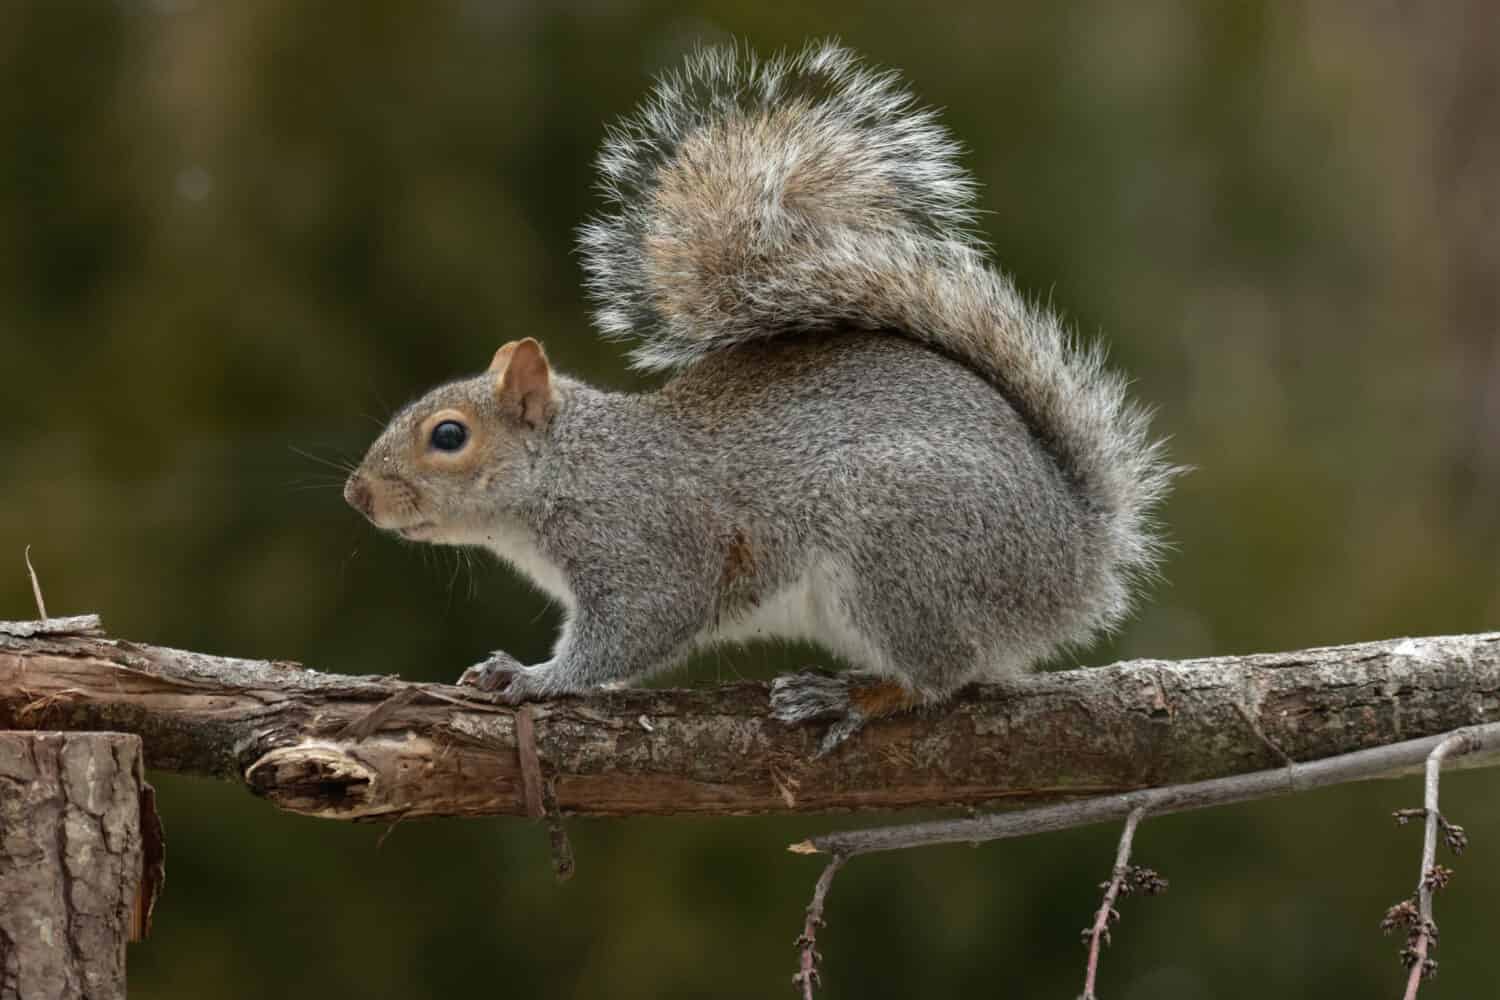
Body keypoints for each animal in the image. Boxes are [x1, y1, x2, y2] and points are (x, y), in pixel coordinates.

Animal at [343, 42, 1175, 725]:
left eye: (449, 435)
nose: (357, 495)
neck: (574, 467)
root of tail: (1075, 561)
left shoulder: (648, 546)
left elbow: (633, 632)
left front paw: (537, 677)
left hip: (898, 544)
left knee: (941, 674)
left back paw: (853, 697)